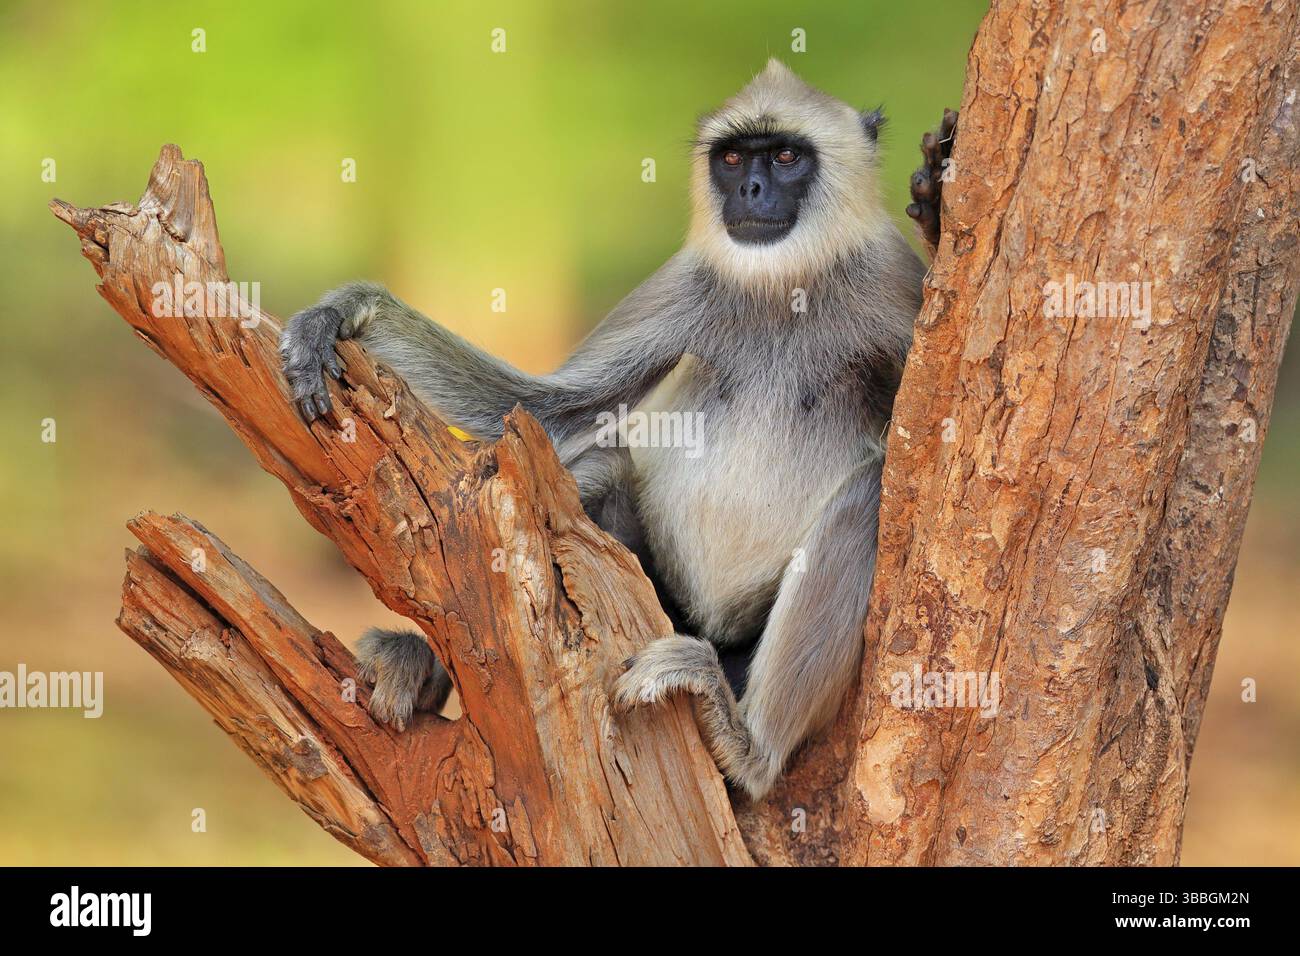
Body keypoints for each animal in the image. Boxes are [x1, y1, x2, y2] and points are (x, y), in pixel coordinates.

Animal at [280, 59, 956, 798]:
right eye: (732, 159)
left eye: (783, 157)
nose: (749, 189)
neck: (784, 286)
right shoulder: (682, 286)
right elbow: (547, 408)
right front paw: (345, 314)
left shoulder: (885, 284)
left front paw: (938, 212)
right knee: (598, 465)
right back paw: (425, 662)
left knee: (865, 498)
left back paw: (747, 746)